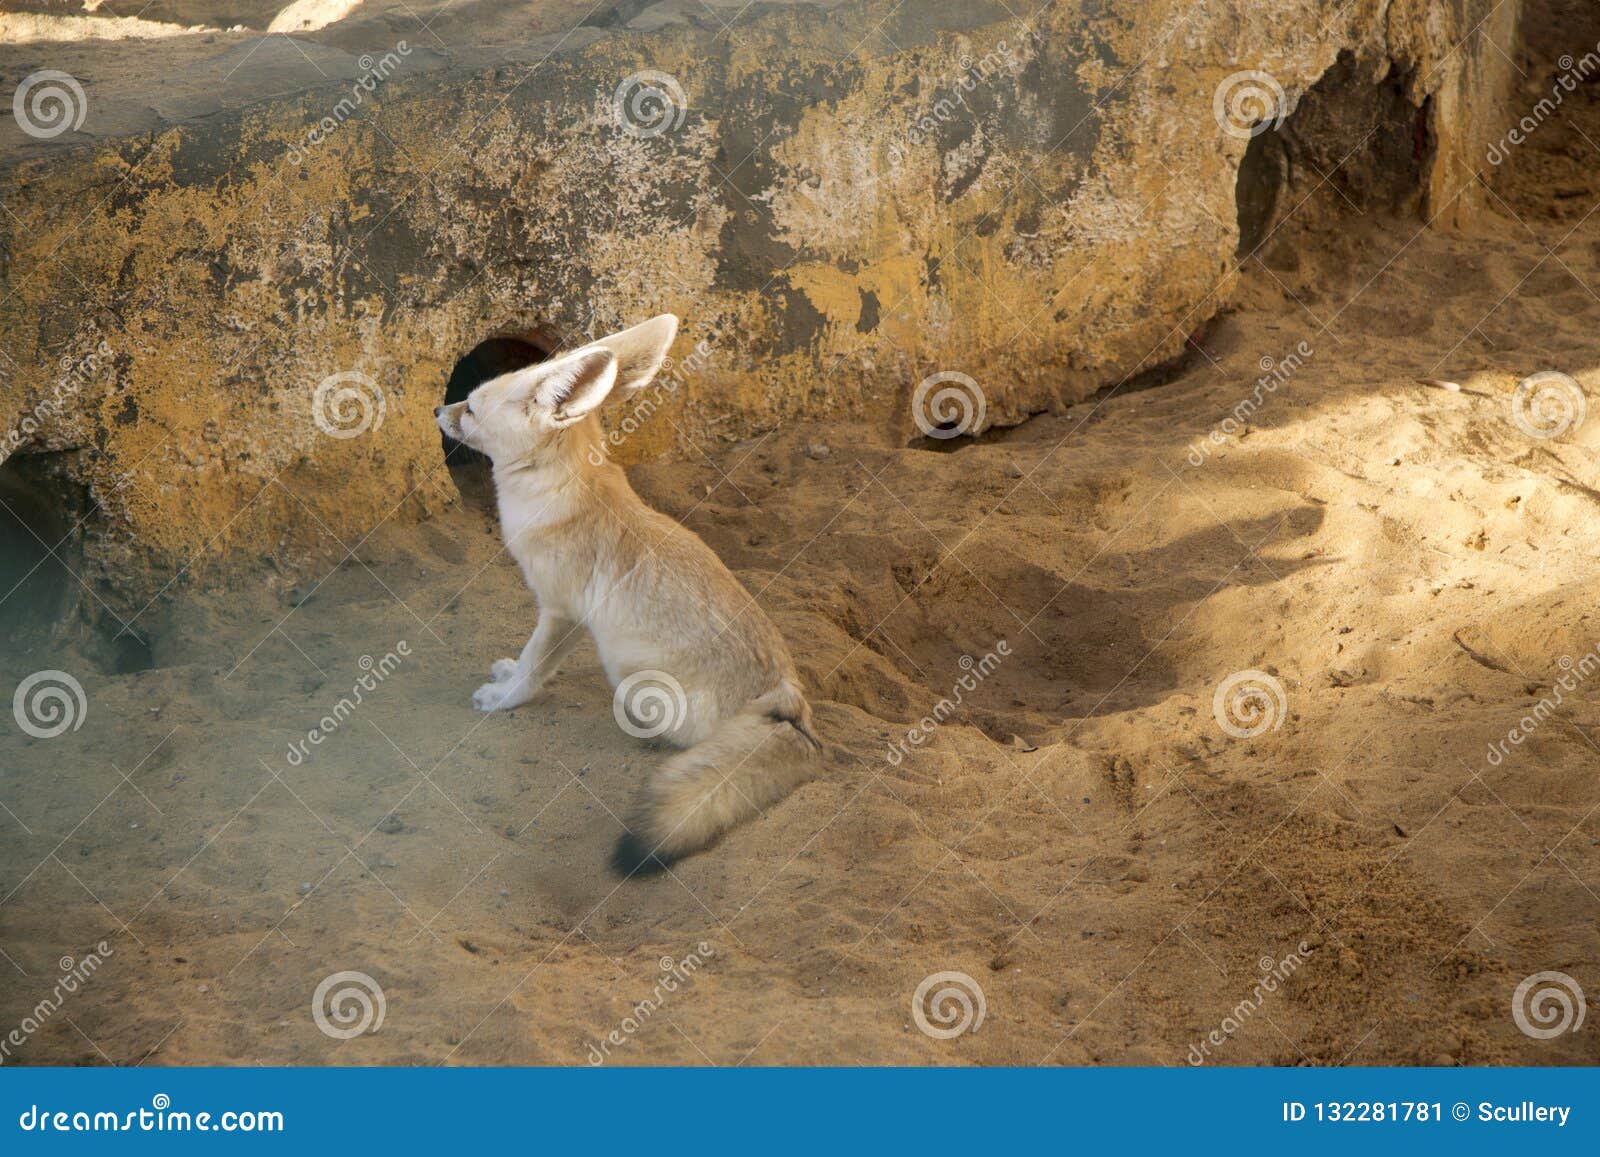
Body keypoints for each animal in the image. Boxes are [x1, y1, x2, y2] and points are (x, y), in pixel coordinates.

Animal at [434, 314, 820, 875]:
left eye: (472, 407)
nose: (437, 409)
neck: (557, 491)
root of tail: (788, 701)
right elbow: (530, 661)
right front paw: (508, 676)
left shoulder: (561, 612)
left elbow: (535, 666)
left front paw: (506, 698)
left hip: (629, 671)